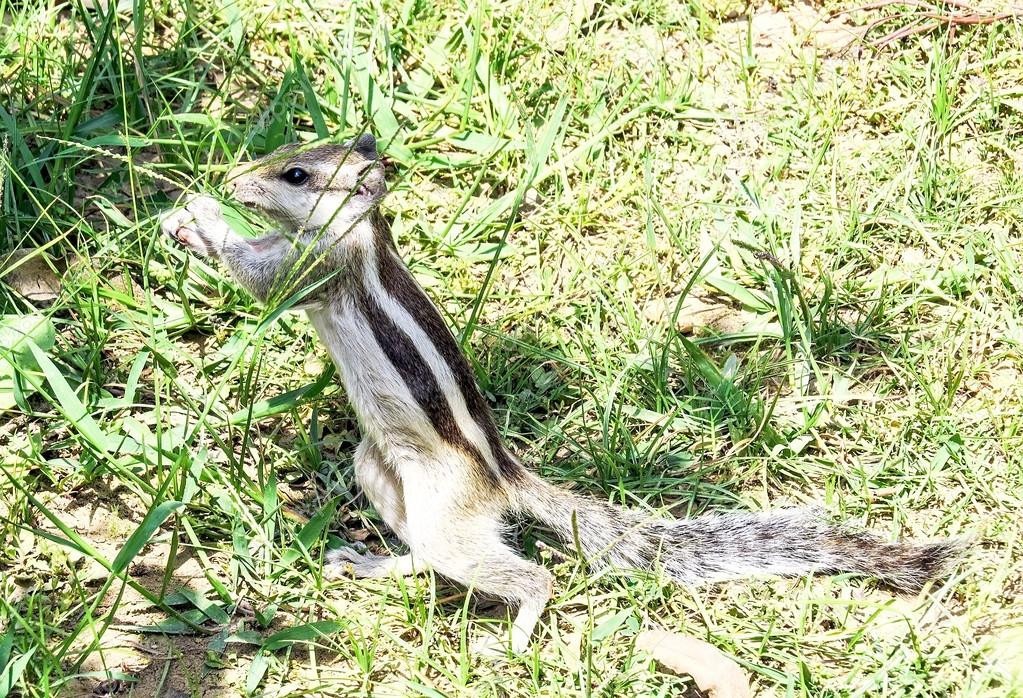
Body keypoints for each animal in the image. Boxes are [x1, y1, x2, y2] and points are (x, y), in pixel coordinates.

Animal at [160, 133, 965, 653]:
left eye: (296, 175)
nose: (236, 179)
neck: (360, 230)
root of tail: (502, 478)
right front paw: (185, 213)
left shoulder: (316, 269)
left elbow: (263, 281)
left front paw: (198, 214)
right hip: (379, 469)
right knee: (424, 554)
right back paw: (375, 565)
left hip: (448, 512)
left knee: (524, 573)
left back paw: (515, 637)